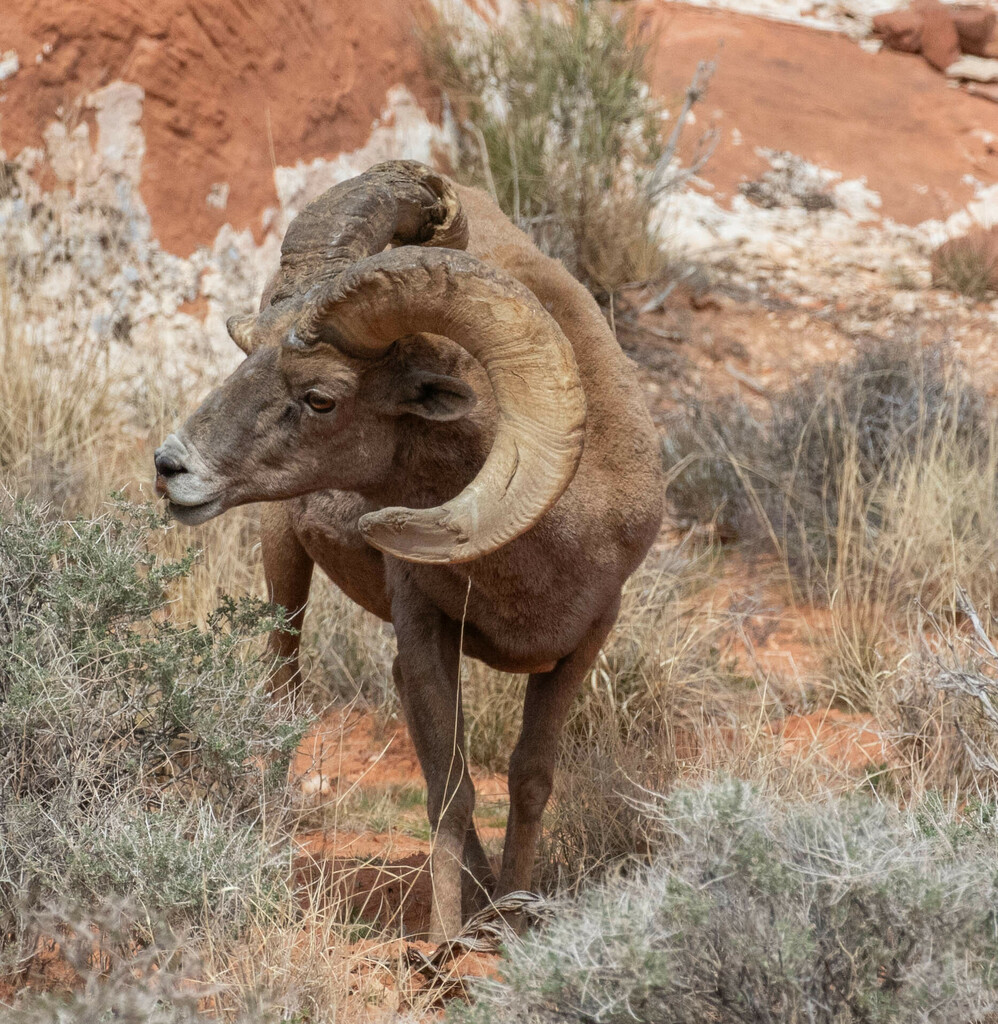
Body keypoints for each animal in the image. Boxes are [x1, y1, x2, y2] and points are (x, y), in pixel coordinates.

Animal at [154, 160, 664, 942]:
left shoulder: (582, 644)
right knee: (283, 694)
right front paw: (443, 945)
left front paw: (511, 916)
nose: (171, 466)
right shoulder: (425, 631)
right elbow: (452, 786)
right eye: (248, 355)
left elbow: (528, 777)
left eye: (322, 397)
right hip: (283, 570)